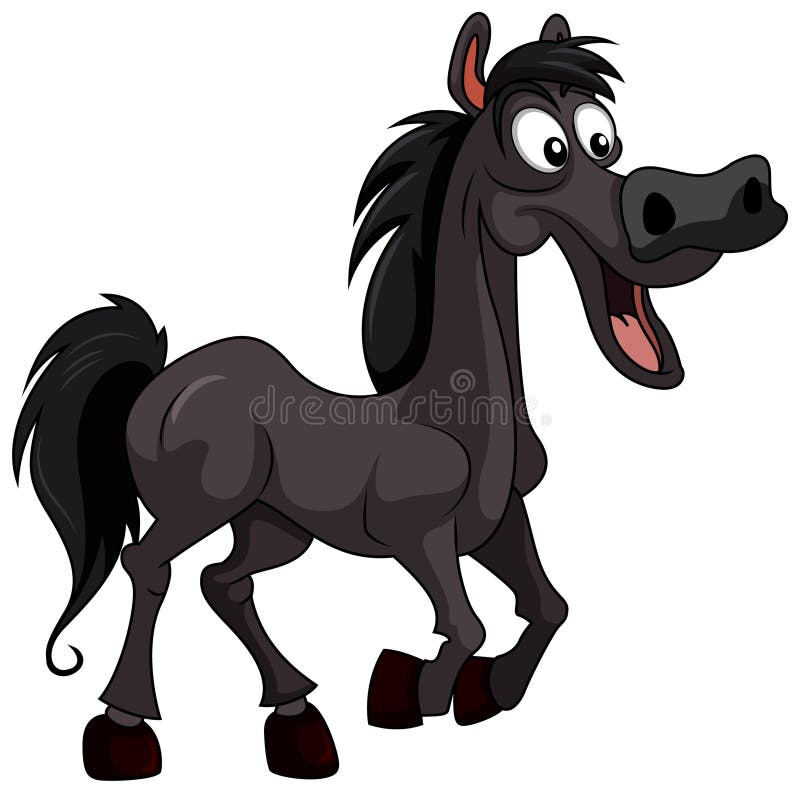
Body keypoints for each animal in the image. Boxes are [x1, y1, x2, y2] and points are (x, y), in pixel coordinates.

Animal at [12, 11, 787, 781]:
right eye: (548, 147)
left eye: (605, 140)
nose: (709, 205)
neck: (453, 408)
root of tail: (162, 378)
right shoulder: (418, 537)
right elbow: (466, 624)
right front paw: (411, 690)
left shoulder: (499, 523)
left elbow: (548, 606)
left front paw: (486, 690)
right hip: (200, 504)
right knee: (151, 566)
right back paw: (125, 729)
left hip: (275, 526)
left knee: (224, 582)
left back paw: (297, 719)